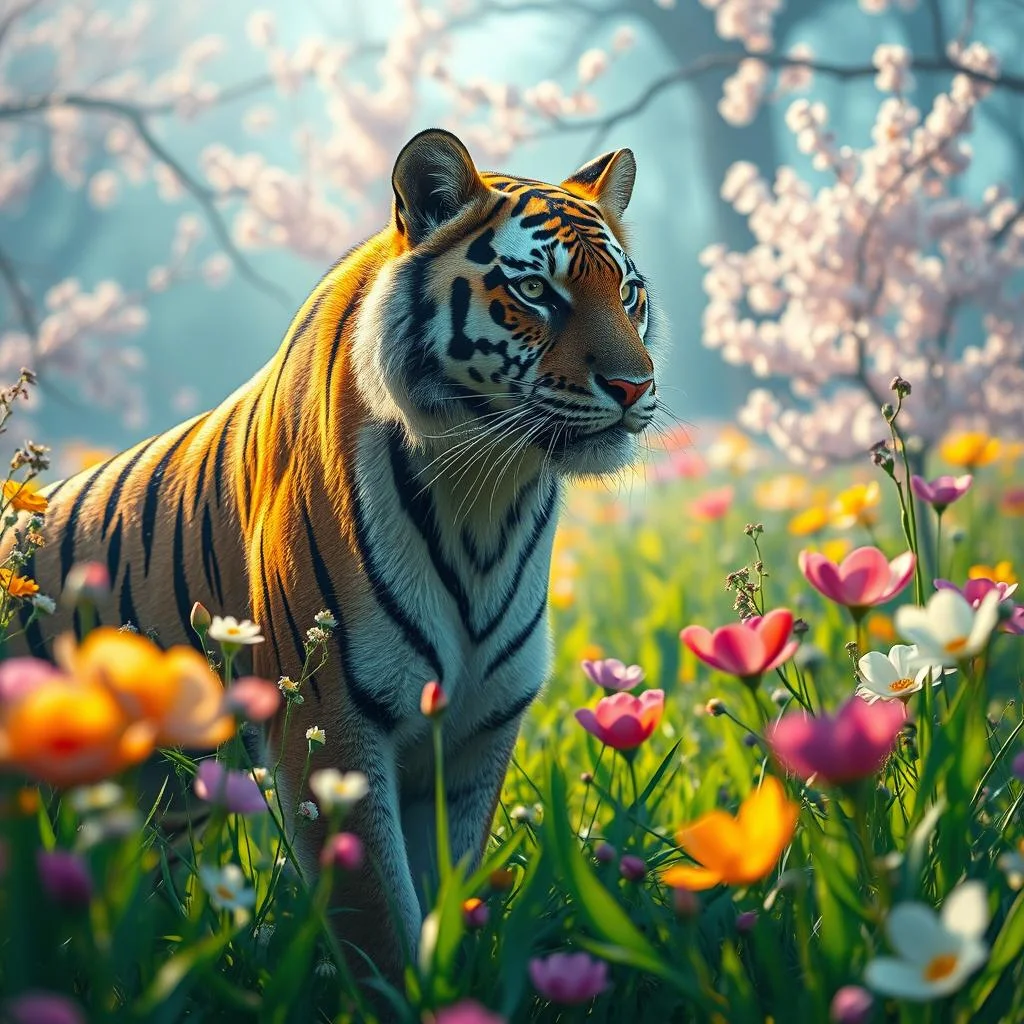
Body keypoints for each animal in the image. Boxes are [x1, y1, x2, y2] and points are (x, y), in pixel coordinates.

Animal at [8, 128, 665, 984]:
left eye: (630, 294)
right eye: (534, 292)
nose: (635, 386)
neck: (490, 497)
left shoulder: (478, 731)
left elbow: (441, 896)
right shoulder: (333, 723)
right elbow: (379, 924)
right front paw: (404, 993)